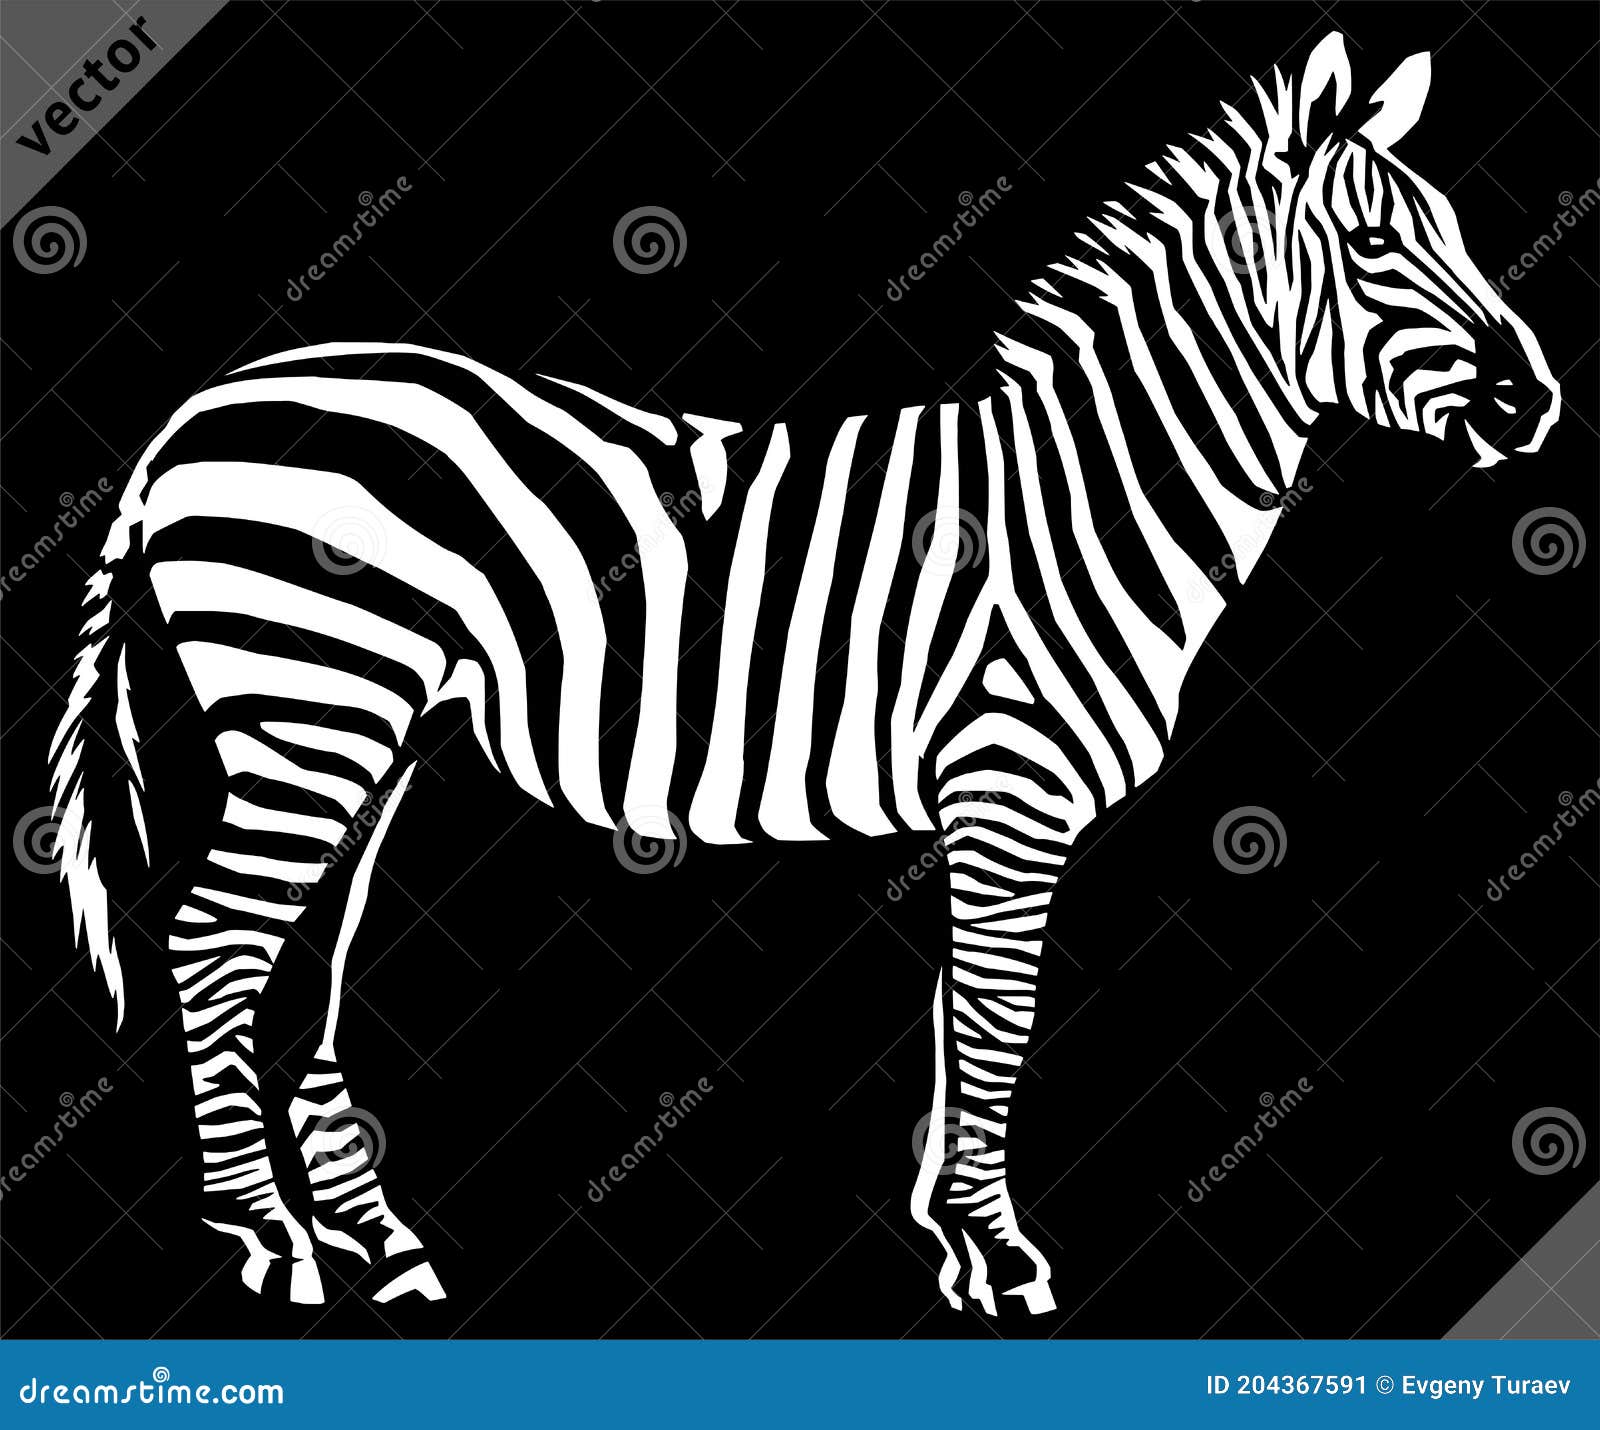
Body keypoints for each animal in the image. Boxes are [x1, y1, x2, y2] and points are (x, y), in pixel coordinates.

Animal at [47, 33, 1560, 1316]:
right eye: (1373, 245)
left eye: (1461, 229)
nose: (1535, 401)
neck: (1088, 499)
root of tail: (190, 413)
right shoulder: (1010, 784)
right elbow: (998, 1020)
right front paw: (1001, 1253)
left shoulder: (979, 806)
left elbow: (957, 1017)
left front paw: (954, 1240)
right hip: (312, 701)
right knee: (210, 936)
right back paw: (267, 1234)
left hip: (370, 733)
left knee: (297, 960)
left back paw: (379, 1241)